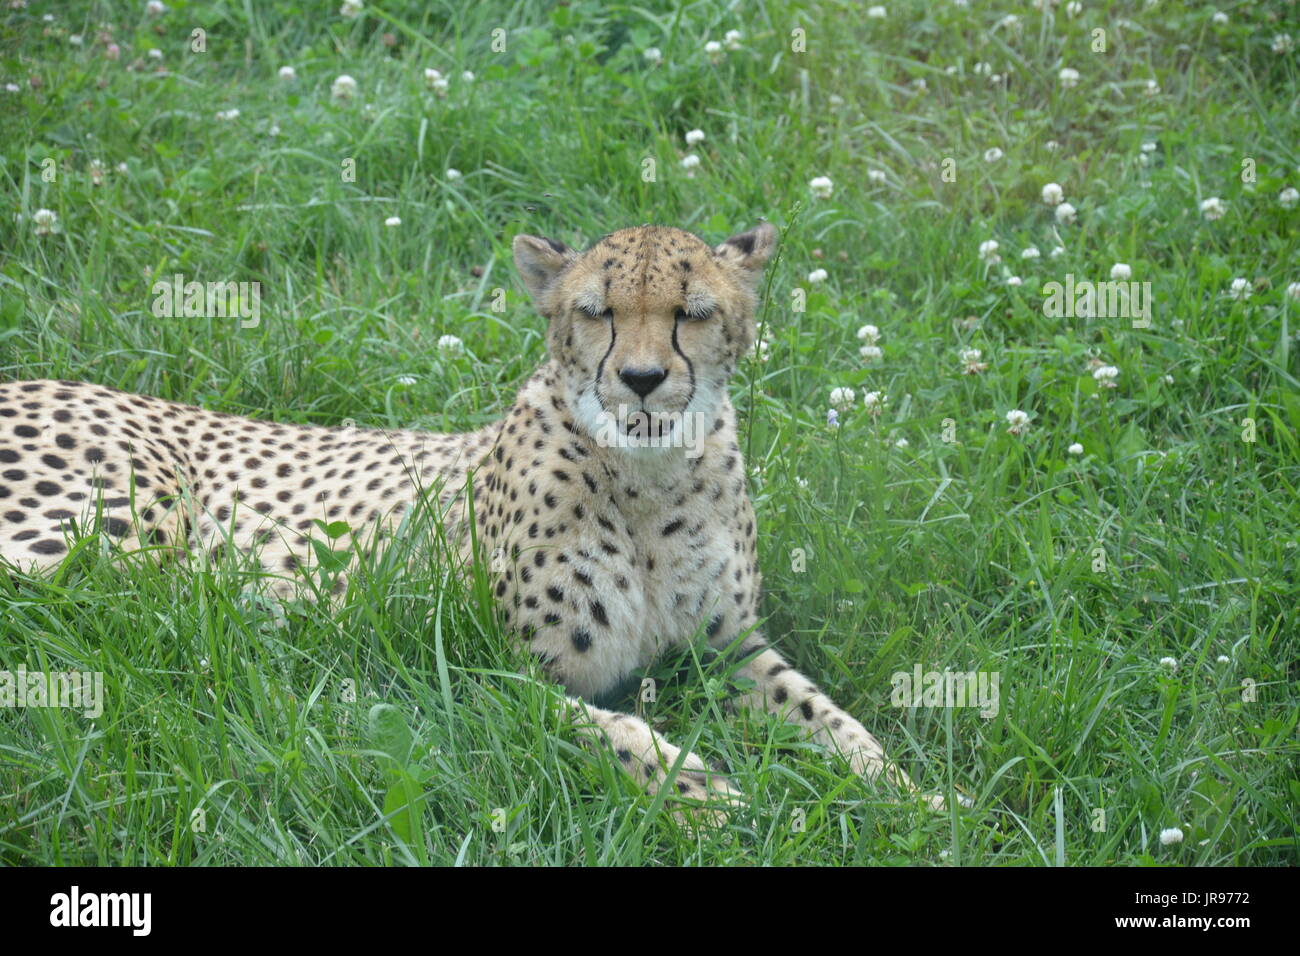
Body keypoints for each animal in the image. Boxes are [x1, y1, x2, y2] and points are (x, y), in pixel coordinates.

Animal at [0, 222, 953, 815]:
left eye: (694, 312)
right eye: (596, 313)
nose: (643, 380)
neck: (648, 484)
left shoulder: (730, 651)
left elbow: (833, 720)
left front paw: (916, 796)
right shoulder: (480, 672)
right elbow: (609, 732)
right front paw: (702, 795)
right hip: (127, 531)